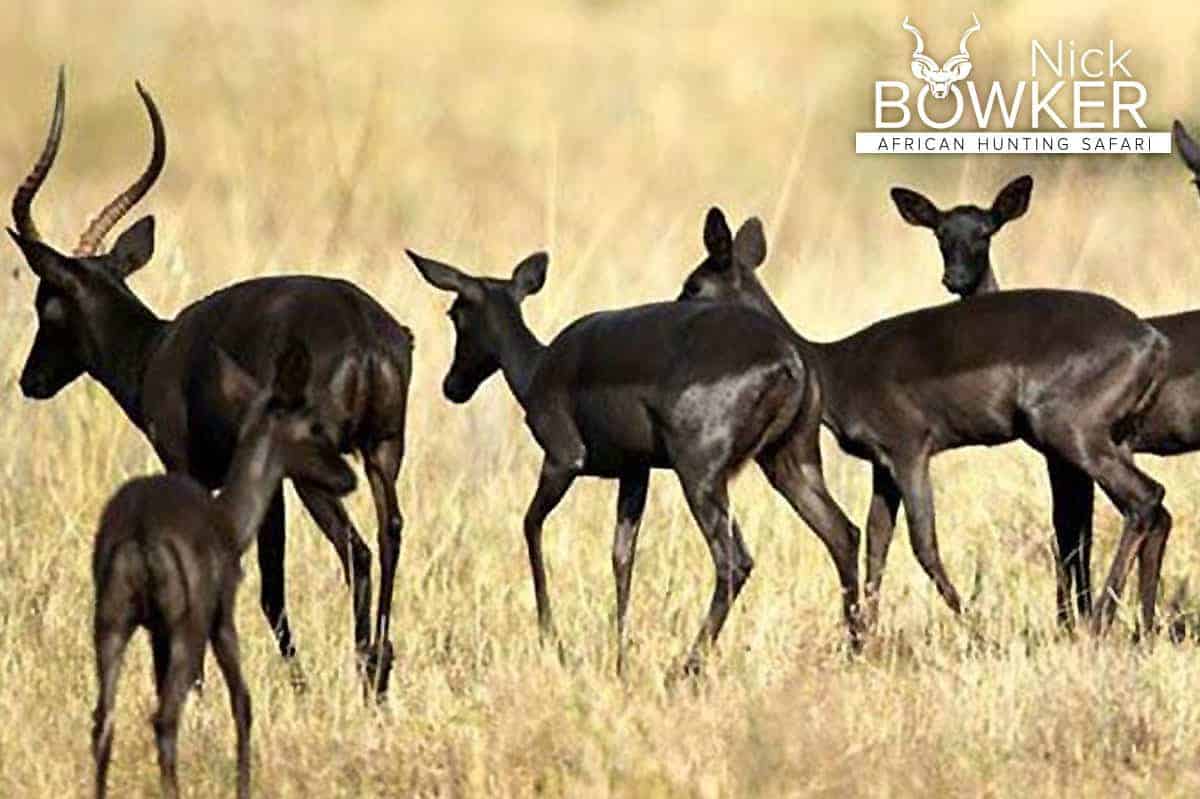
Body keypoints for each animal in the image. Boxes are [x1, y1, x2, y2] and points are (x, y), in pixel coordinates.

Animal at [11, 71, 411, 695]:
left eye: (45, 303)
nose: (31, 380)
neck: (155, 350)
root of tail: (365, 332)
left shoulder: (191, 467)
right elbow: (268, 585)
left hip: (319, 472)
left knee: (359, 550)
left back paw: (364, 670)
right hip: (382, 451)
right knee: (390, 533)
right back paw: (380, 667)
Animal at [92, 343, 356, 799]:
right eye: (316, 426)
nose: (348, 478)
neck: (230, 520)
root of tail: (139, 531)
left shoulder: (156, 632)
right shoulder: (224, 619)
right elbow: (243, 703)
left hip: (111, 625)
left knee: (103, 721)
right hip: (189, 627)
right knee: (165, 717)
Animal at [407, 247, 862, 673]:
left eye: (454, 312)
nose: (452, 386)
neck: (539, 368)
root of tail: (791, 360)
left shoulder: (563, 461)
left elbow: (531, 525)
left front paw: (553, 640)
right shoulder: (635, 473)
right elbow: (621, 557)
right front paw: (620, 658)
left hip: (700, 478)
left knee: (734, 561)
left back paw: (686, 668)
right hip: (788, 465)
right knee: (842, 534)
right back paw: (856, 651)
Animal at [678, 207, 1172, 634]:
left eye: (694, 285)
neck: (832, 365)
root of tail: (1152, 340)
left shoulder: (910, 453)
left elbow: (923, 544)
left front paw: (973, 626)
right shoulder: (882, 469)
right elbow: (877, 542)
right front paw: (865, 635)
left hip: (1073, 437)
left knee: (1145, 498)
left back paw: (1102, 620)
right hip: (1109, 441)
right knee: (1155, 512)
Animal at [889, 130, 1200, 629]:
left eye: (986, 232)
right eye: (940, 233)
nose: (954, 278)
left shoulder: (1066, 459)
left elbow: (1072, 535)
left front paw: (1072, 622)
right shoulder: (1062, 462)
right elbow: (1070, 533)